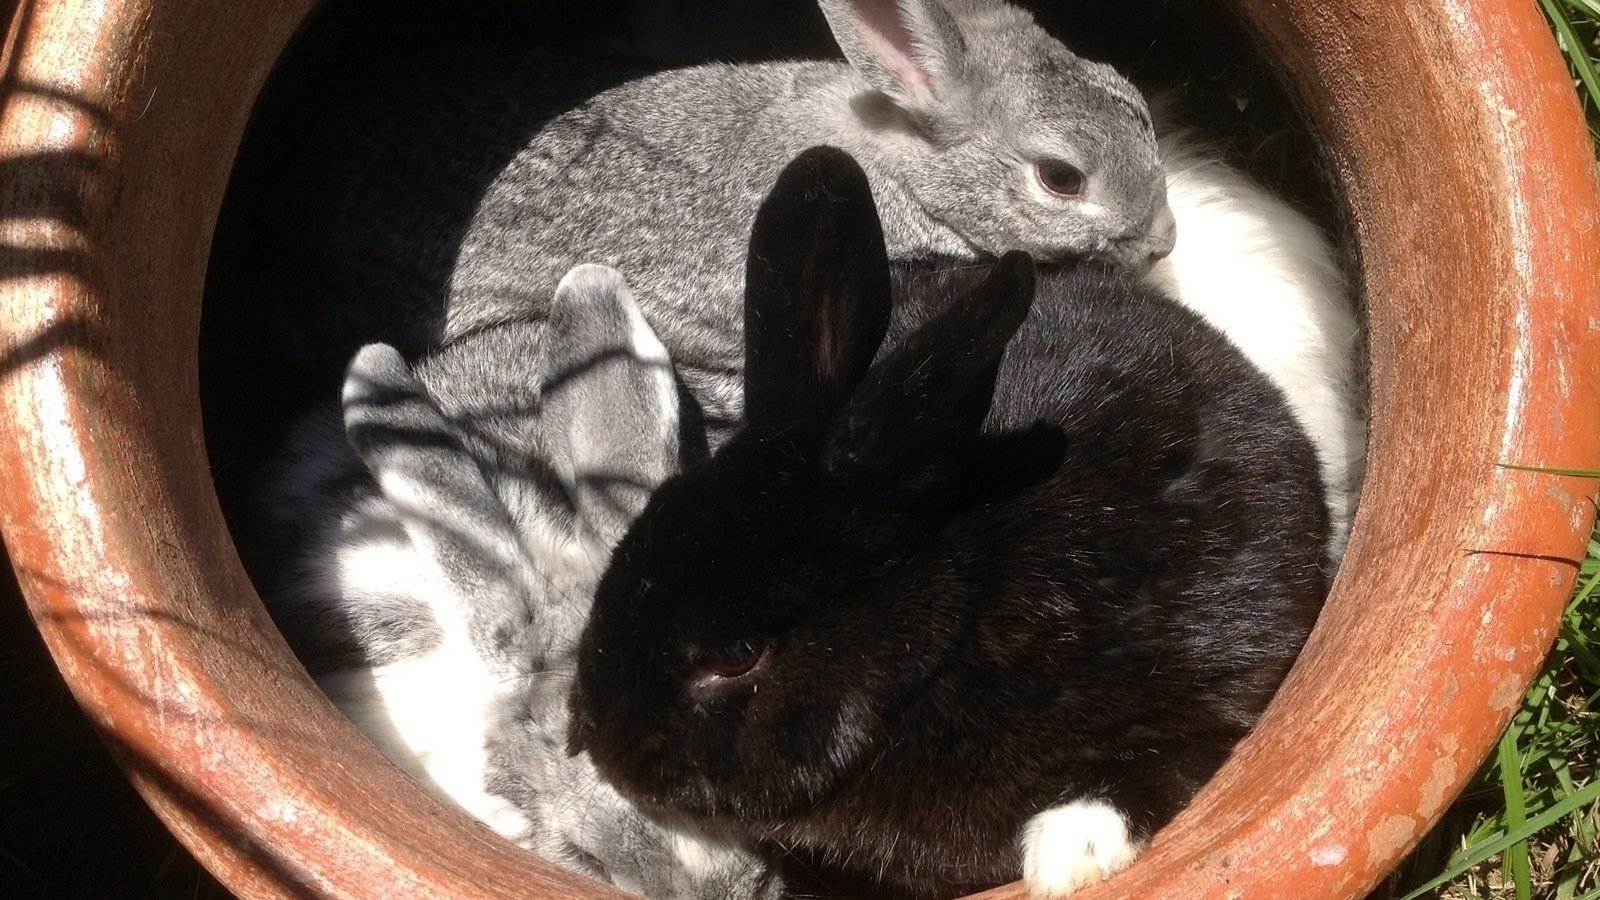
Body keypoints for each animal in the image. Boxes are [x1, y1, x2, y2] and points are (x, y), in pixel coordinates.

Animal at [567, 147, 1330, 899]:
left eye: (736, 655)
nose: (600, 745)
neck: (950, 622)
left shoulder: (1218, 680)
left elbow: (1162, 766)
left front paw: (1065, 857)